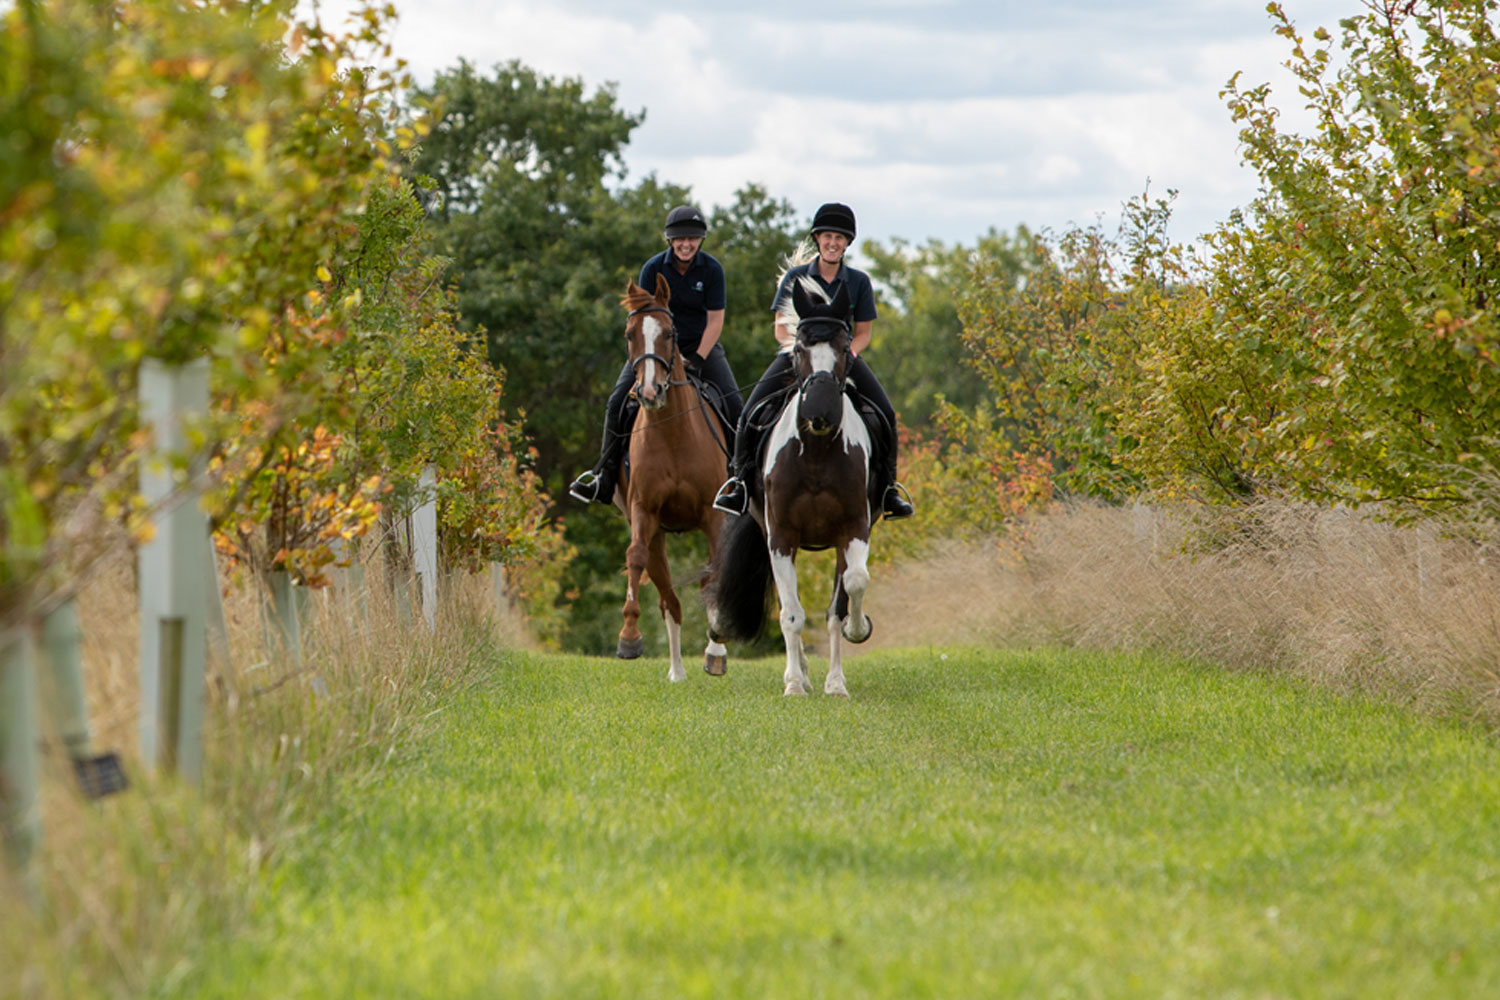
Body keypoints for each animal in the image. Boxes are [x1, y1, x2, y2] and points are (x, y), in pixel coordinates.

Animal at [612, 273, 734, 681]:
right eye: (630, 335)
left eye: (669, 332)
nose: (649, 392)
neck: (673, 433)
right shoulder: (643, 511)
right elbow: (633, 557)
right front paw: (629, 637)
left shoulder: (714, 515)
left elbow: (714, 574)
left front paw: (716, 648)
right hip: (658, 537)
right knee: (669, 599)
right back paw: (677, 671)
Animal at [706, 276, 878, 697]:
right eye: (799, 348)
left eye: (844, 347)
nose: (820, 412)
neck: (816, 452)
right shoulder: (781, 535)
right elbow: (792, 615)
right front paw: (795, 684)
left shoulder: (853, 529)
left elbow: (849, 591)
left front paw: (842, 669)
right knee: (789, 606)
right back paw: (797, 672)